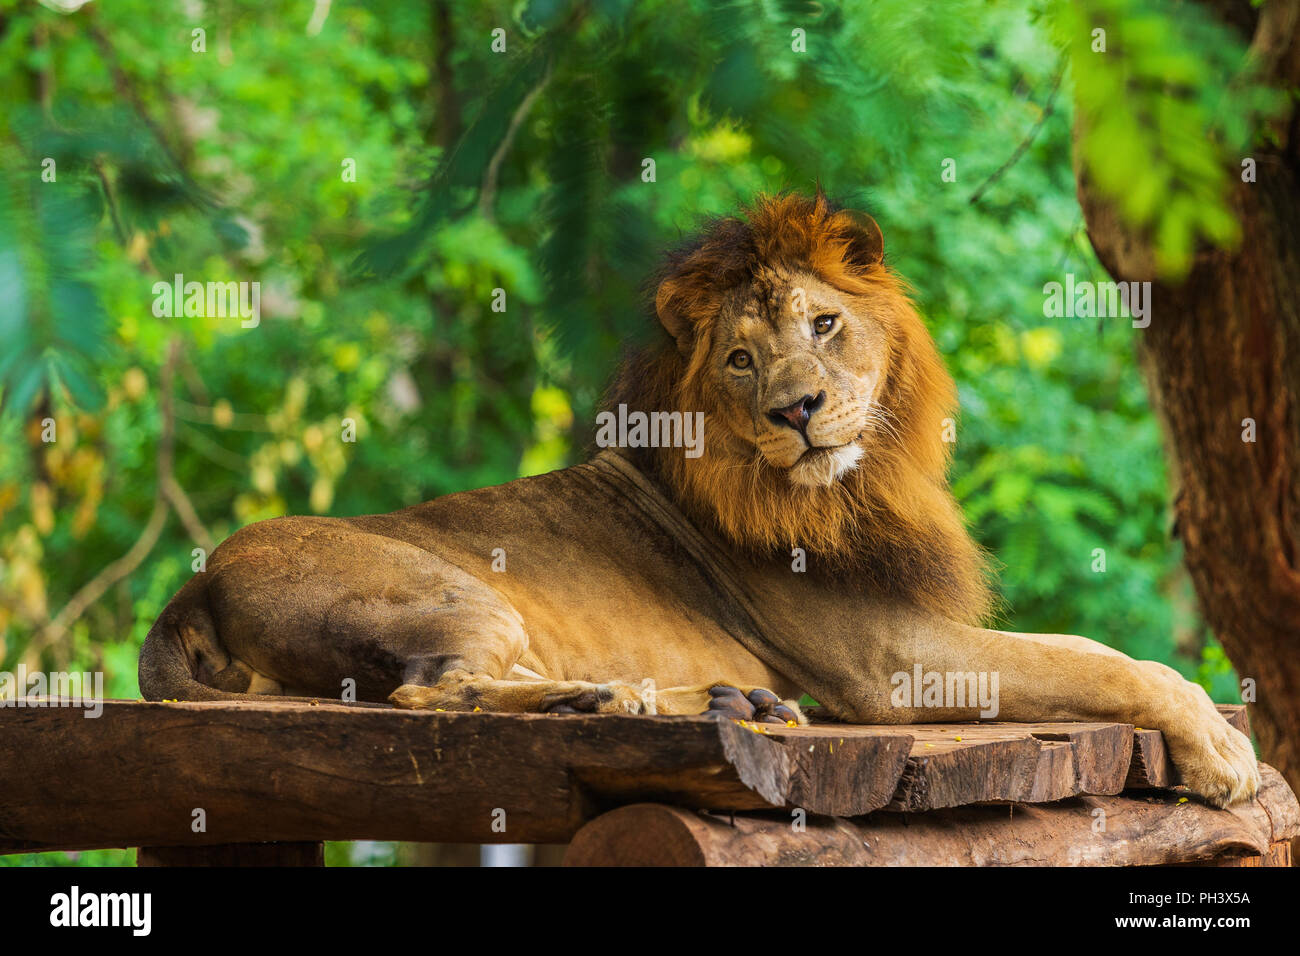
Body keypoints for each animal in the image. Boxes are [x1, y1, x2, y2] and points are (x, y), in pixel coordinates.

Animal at [140, 192, 1259, 807]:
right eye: (740, 359)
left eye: (823, 323)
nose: (798, 409)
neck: (863, 483)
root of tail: (191, 586)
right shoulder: (890, 660)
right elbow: (1104, 661)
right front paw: (1225, 750)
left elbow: (1096, 654)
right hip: (455, 592)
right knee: (428, 693)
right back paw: (620, 701)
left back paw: (703, 701)